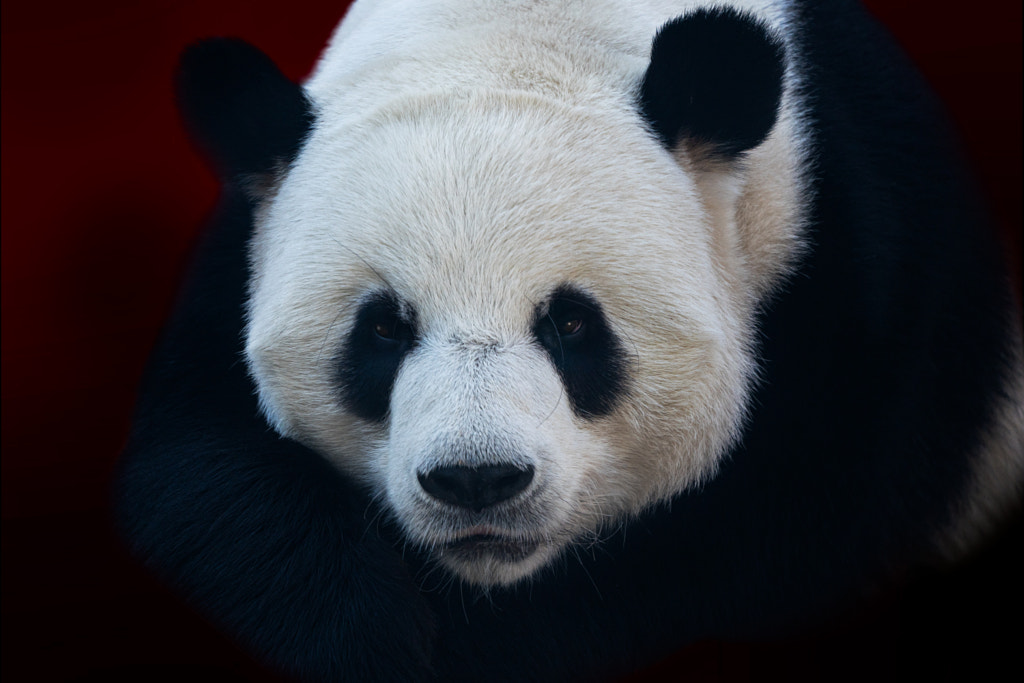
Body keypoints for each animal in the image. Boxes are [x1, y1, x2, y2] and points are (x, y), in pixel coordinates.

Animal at [117, 0, 1024, 681]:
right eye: (382, 327)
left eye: (571, 321)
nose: (476, 478)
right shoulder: (241, 253)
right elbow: (206, 478)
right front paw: (366, 635)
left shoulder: (861, 280)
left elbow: (747, 547)